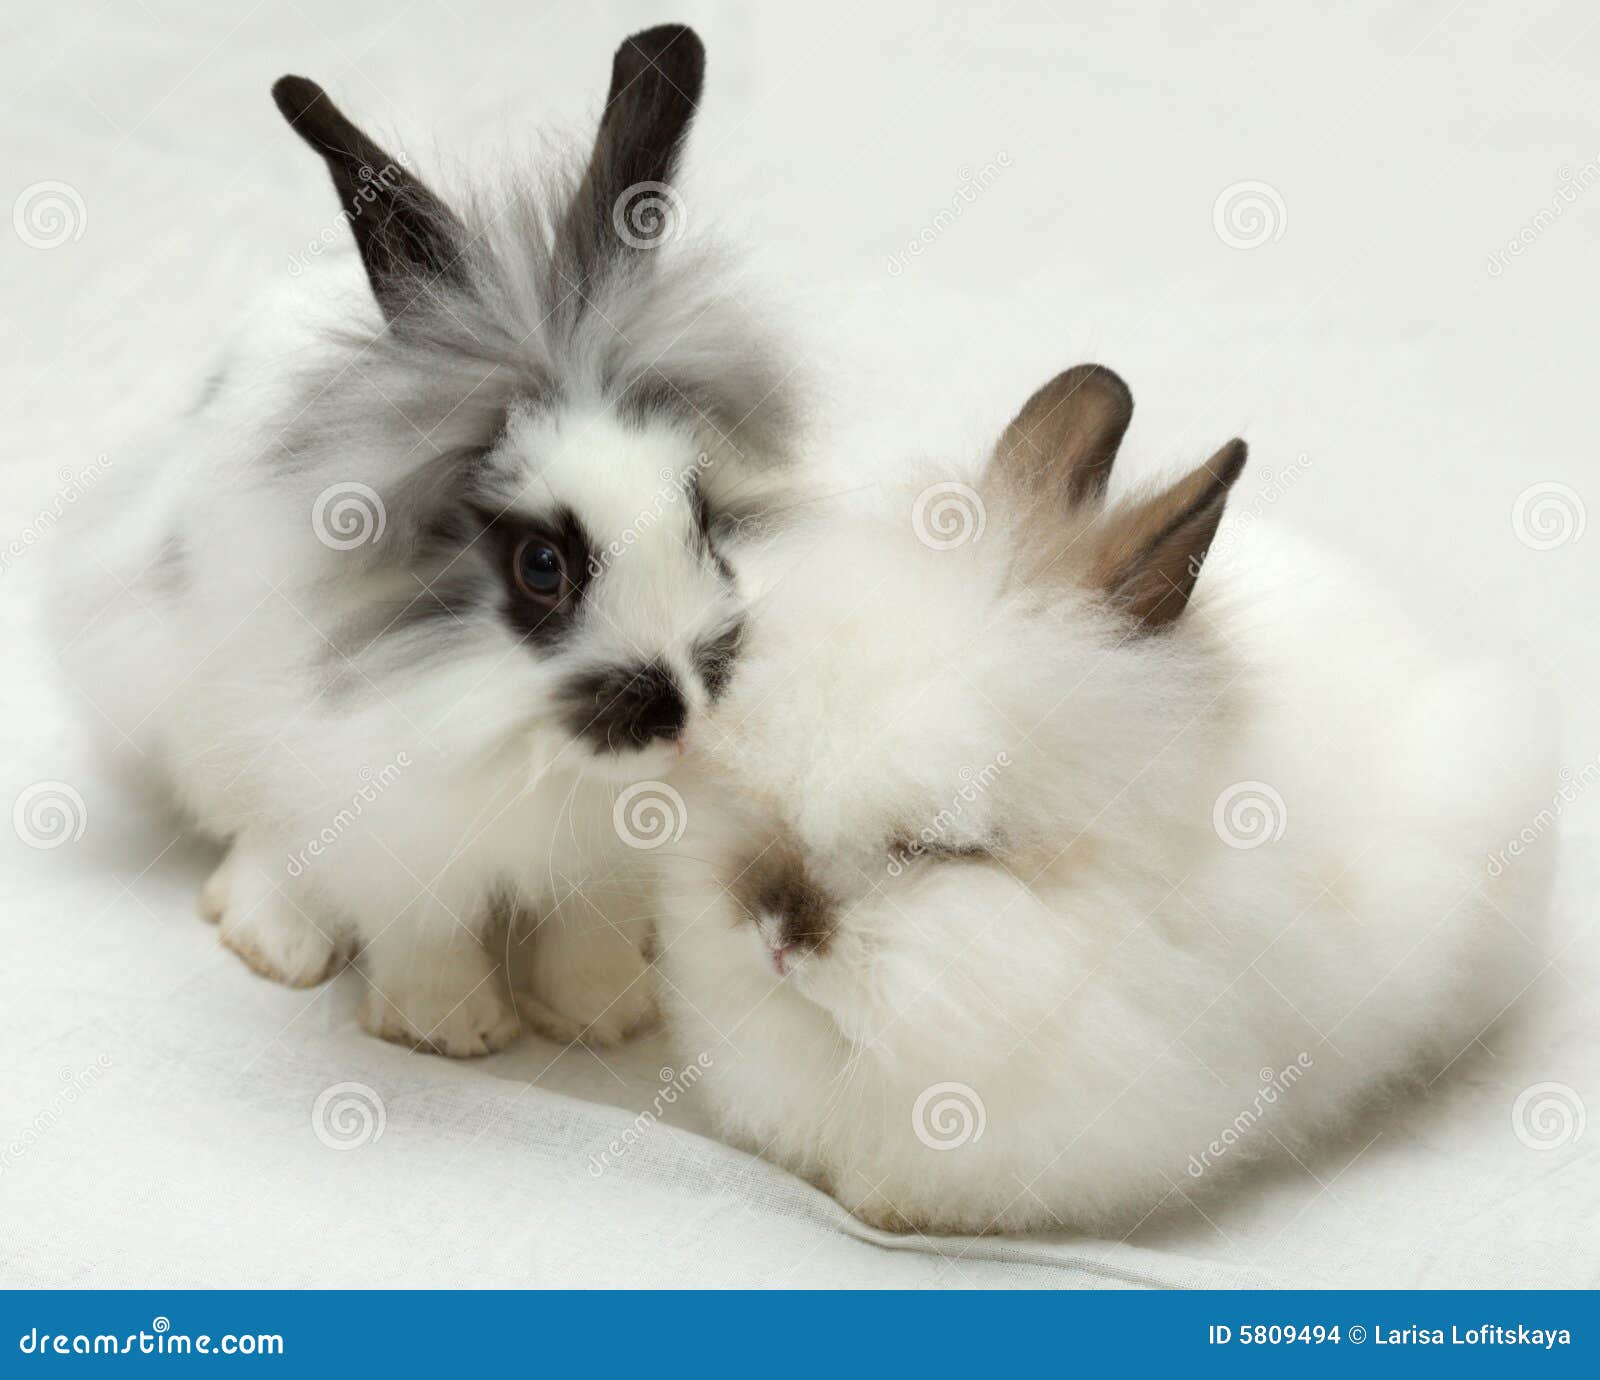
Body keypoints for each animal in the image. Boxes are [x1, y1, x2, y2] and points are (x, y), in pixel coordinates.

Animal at [49, 25, 805, 1057]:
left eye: (702, 517)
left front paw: (604, 1017)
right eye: (542, 566)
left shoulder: (608, 859)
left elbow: (588, 925)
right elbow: (422, 929)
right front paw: (451, 1032)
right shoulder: (387, 828)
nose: (679, 711)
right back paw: (274, 940)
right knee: (260, 832)